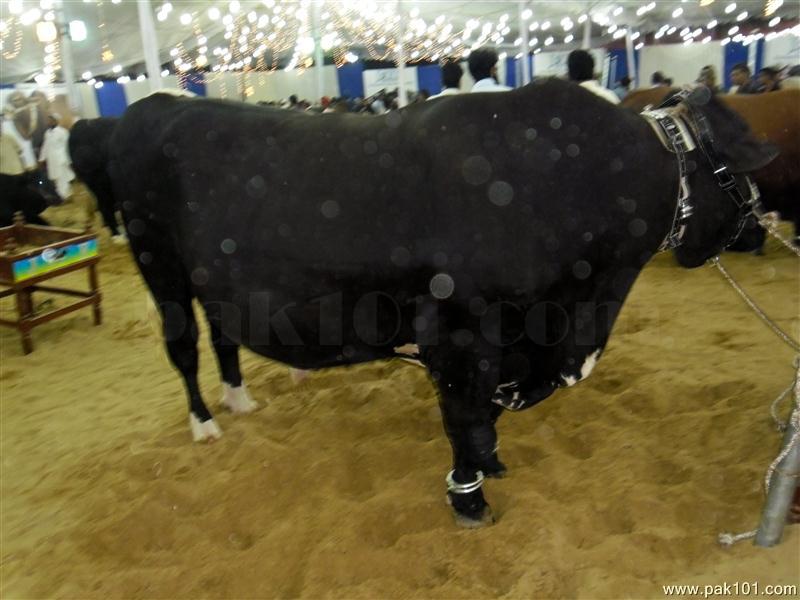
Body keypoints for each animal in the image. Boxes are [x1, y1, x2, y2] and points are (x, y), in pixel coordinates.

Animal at [92, 79, 775, 527]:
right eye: (743, 175)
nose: (761, 229)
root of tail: (157, 103)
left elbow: (488, 412)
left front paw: (490, 462)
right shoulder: (460, 329)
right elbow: (465, 413)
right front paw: (468, 494)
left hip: (208, 281)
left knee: (220, 333)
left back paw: (238, 398)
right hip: (159, 265)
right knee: (182, 344)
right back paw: (205, 422)